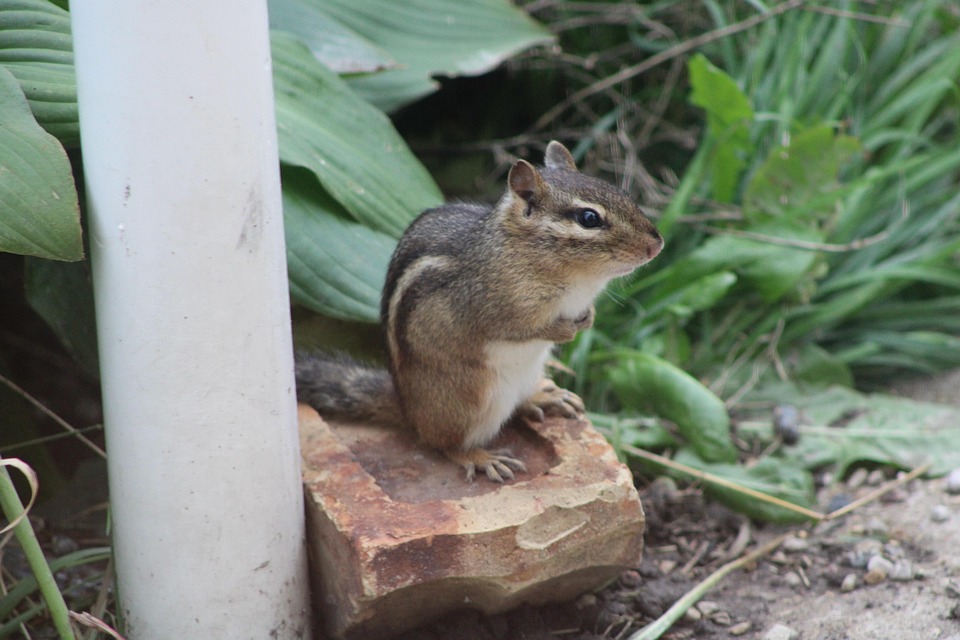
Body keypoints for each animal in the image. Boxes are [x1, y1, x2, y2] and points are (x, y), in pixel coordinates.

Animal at [295, 141, 663, 482]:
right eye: (589, 218)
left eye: (619, 192)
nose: (656, 244)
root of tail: (407, 407)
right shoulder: (495, 307)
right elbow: (521, 329)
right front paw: (563, 330)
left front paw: (589, 319)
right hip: (472, 402)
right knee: (442, 443)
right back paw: (481, 457)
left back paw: (543, 397)